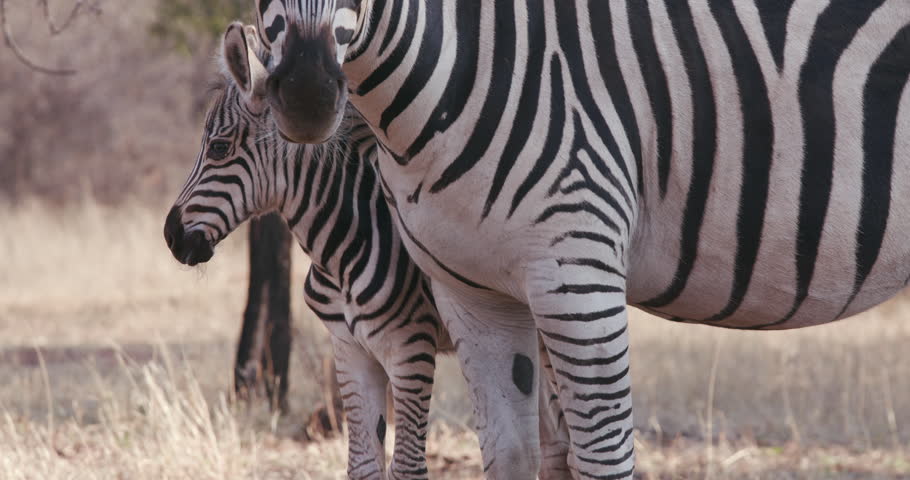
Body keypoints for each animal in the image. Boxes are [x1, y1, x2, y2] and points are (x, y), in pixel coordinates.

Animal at [163, 23, 572, 480]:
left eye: (218, 148)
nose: (171, 235)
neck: (340, 249)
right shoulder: (348, 347)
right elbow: (361, 465)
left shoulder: (411, 347)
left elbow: (407, 466)